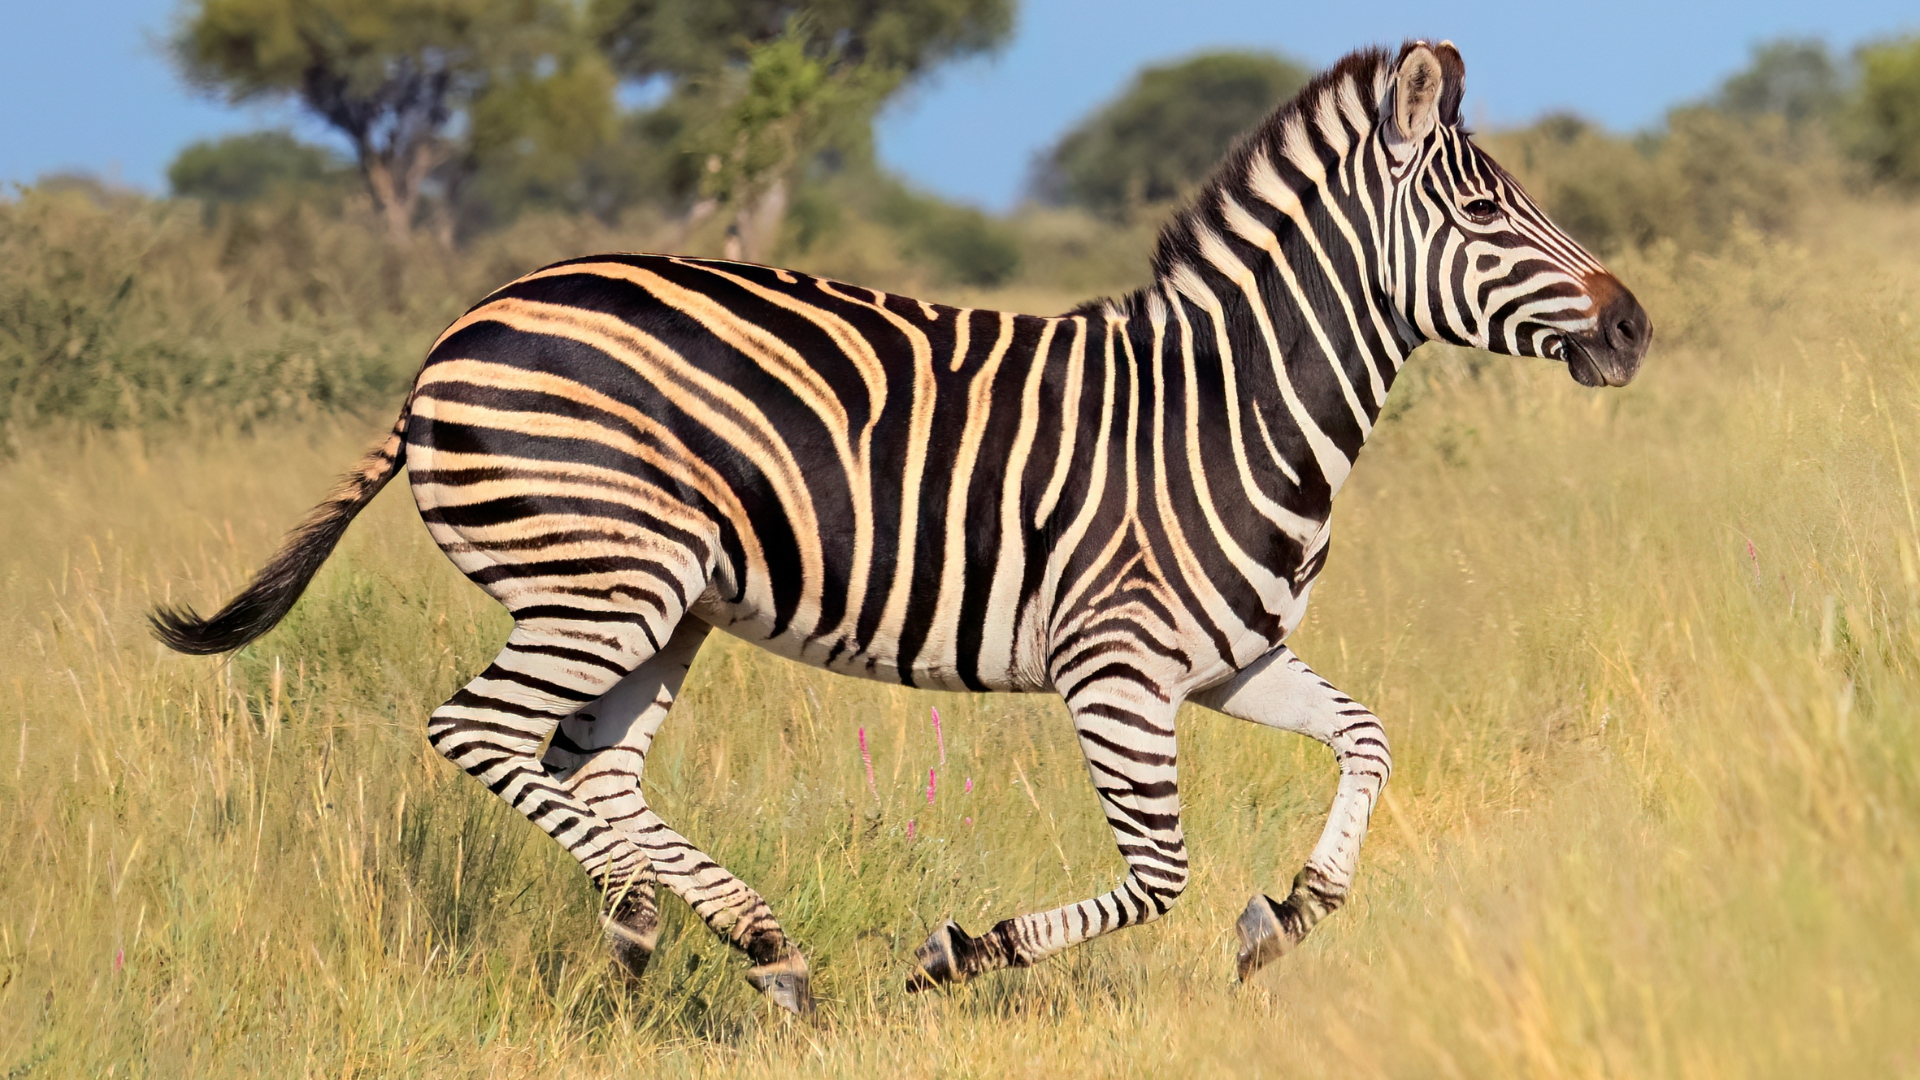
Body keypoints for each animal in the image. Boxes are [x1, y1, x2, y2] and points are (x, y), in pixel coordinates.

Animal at [152, 40, 1649, 1015]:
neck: (1225, 409)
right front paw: (966, 952)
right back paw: (644, 912)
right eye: (1483, 209)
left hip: (660, 603)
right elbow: (1160, 872)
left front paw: (1294, 911)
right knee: (482, 732)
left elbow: (1367, 738)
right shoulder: (1116, 669)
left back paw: (748, 940)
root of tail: (447, 343)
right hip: (606, 579)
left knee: (596, 769)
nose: (1634, 327)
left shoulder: (1226, 659)